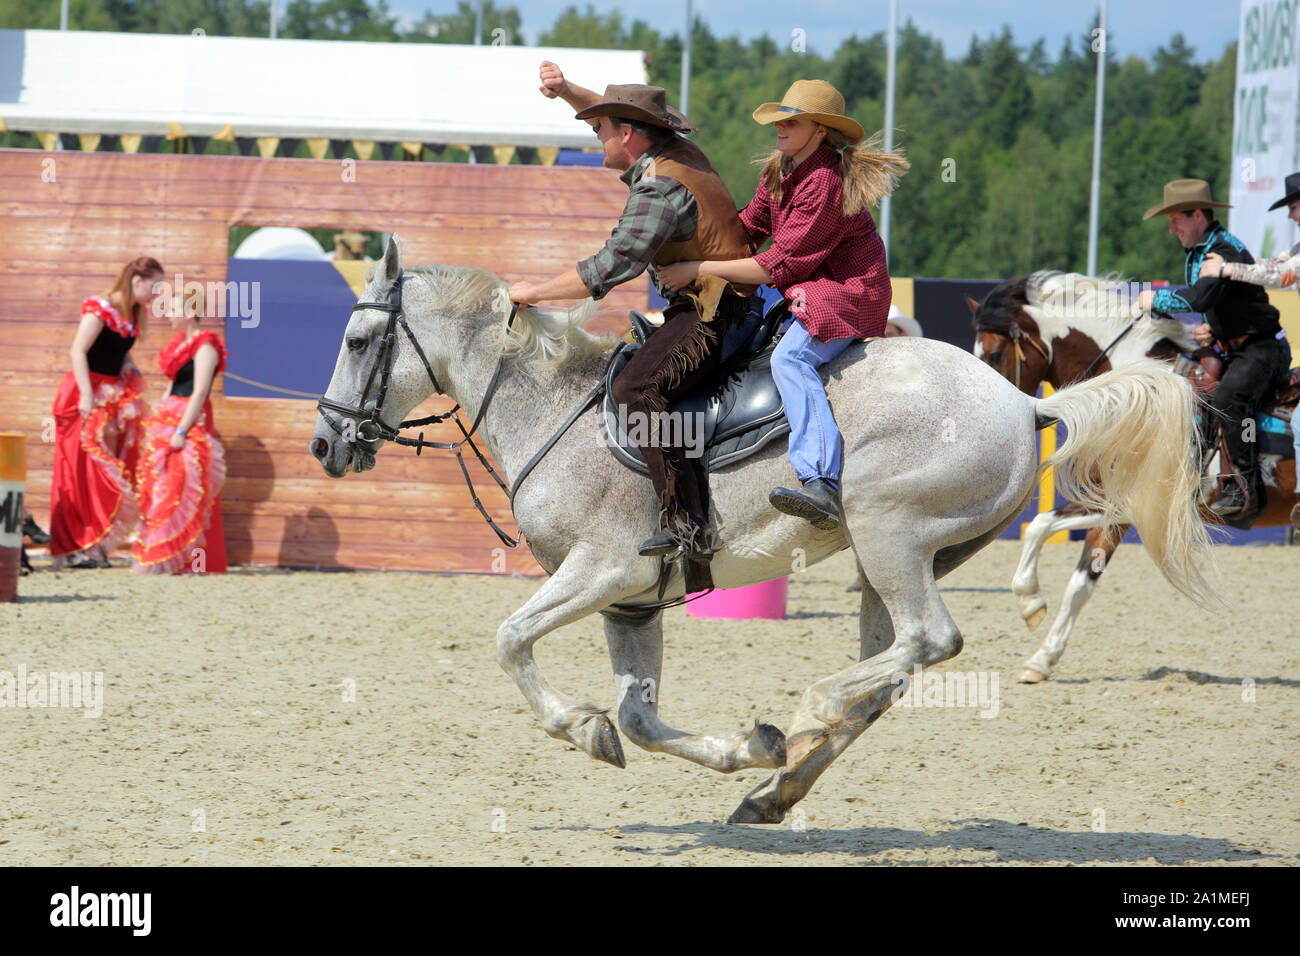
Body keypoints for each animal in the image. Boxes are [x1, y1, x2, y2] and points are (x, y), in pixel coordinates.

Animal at [310, 238, 1216, 823]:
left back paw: (815, 707)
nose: (324, 444)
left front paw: (579, 727)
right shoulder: (631, 602)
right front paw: (743, 750)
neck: (554, 408)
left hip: (887, 531)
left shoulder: (600, 573)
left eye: (356, 339)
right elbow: (639, 718)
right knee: (892, 671)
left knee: (930, 642)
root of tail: (1022, 400)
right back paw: (777, 786)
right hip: (895, 560)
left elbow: (510, 641)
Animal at [970, 271, 1295, 683]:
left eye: (995, 354)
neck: (1136, 391)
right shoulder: (1114, 508)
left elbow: (1040, 524)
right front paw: (1041, 658)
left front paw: (1030, 600)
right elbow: (1079, 581)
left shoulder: (1129, 503)